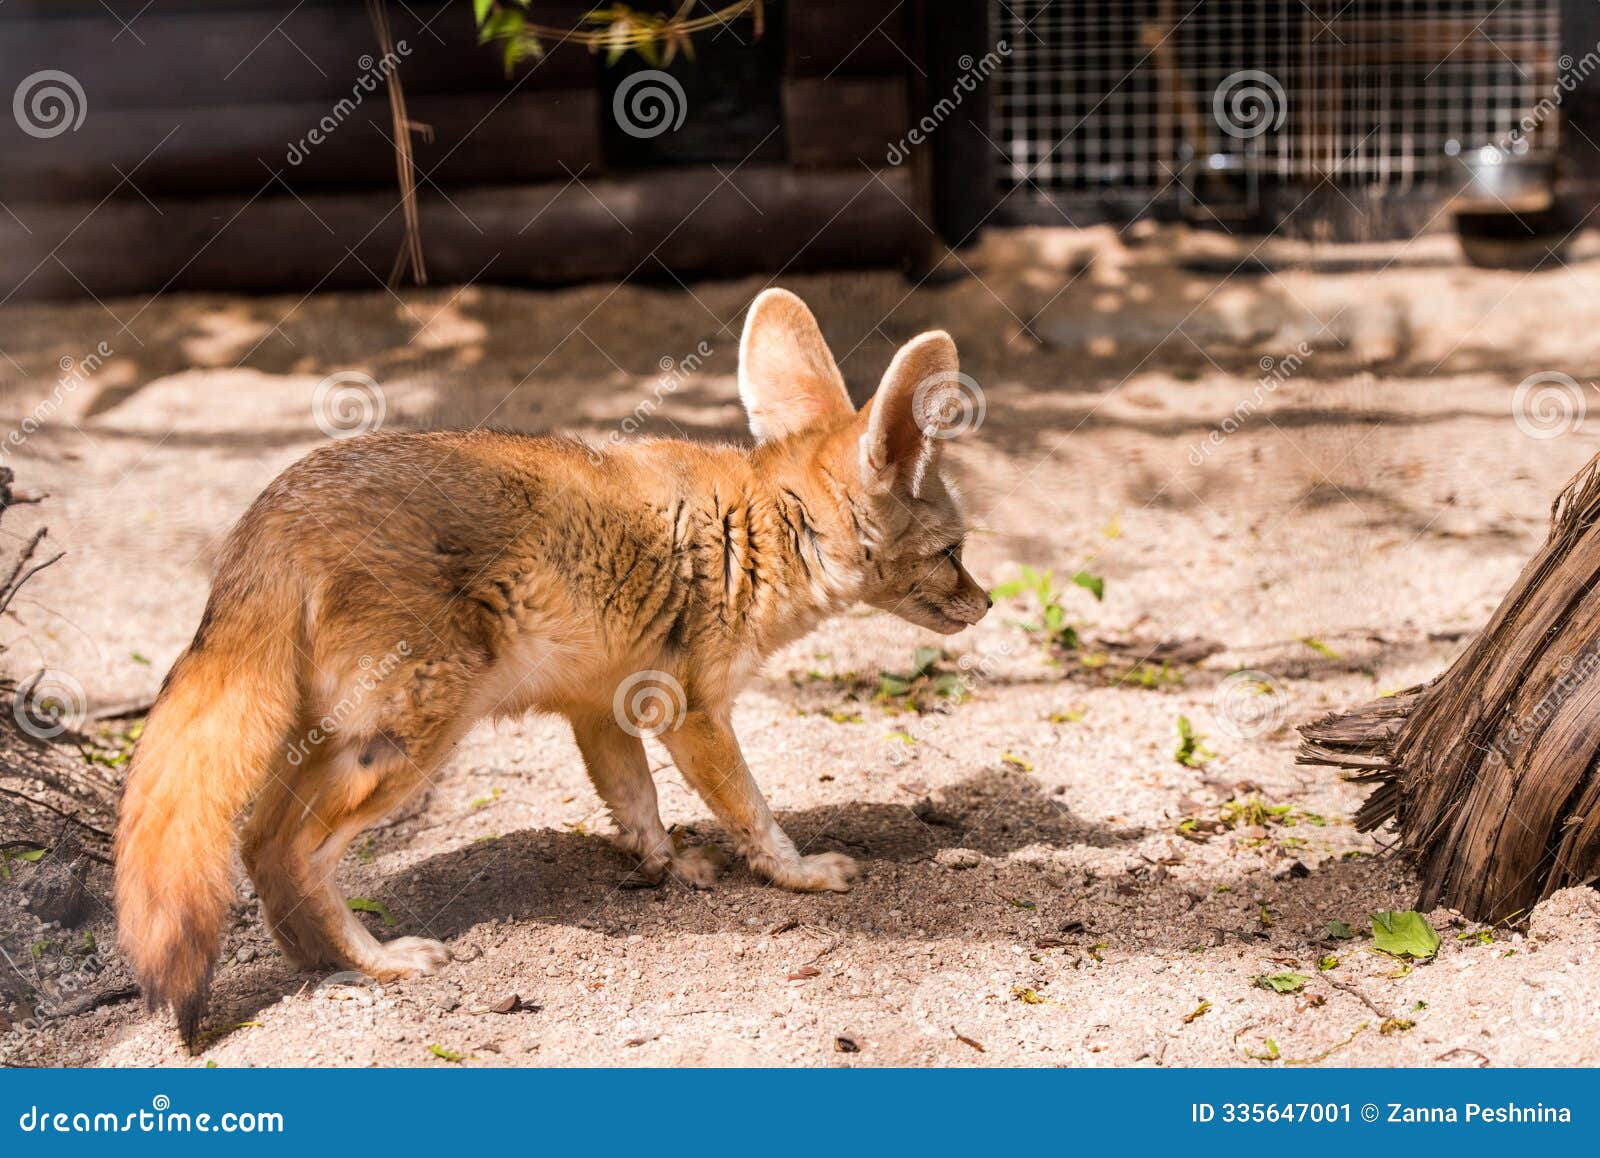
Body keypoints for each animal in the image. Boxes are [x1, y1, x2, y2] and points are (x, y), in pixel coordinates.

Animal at [114, 289, 990, 1041]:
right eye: (954, 554)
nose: (985, 604)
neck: (760, 530)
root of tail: (275, 512)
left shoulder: (600, 709)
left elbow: (638, 805)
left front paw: (668, 868)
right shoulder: (695, 715)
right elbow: (753, 812)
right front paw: (800, 872)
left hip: (320, 744)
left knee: (258, 844)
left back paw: (315, 962)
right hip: (405, 752)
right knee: (299, 853)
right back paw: (379, 961)